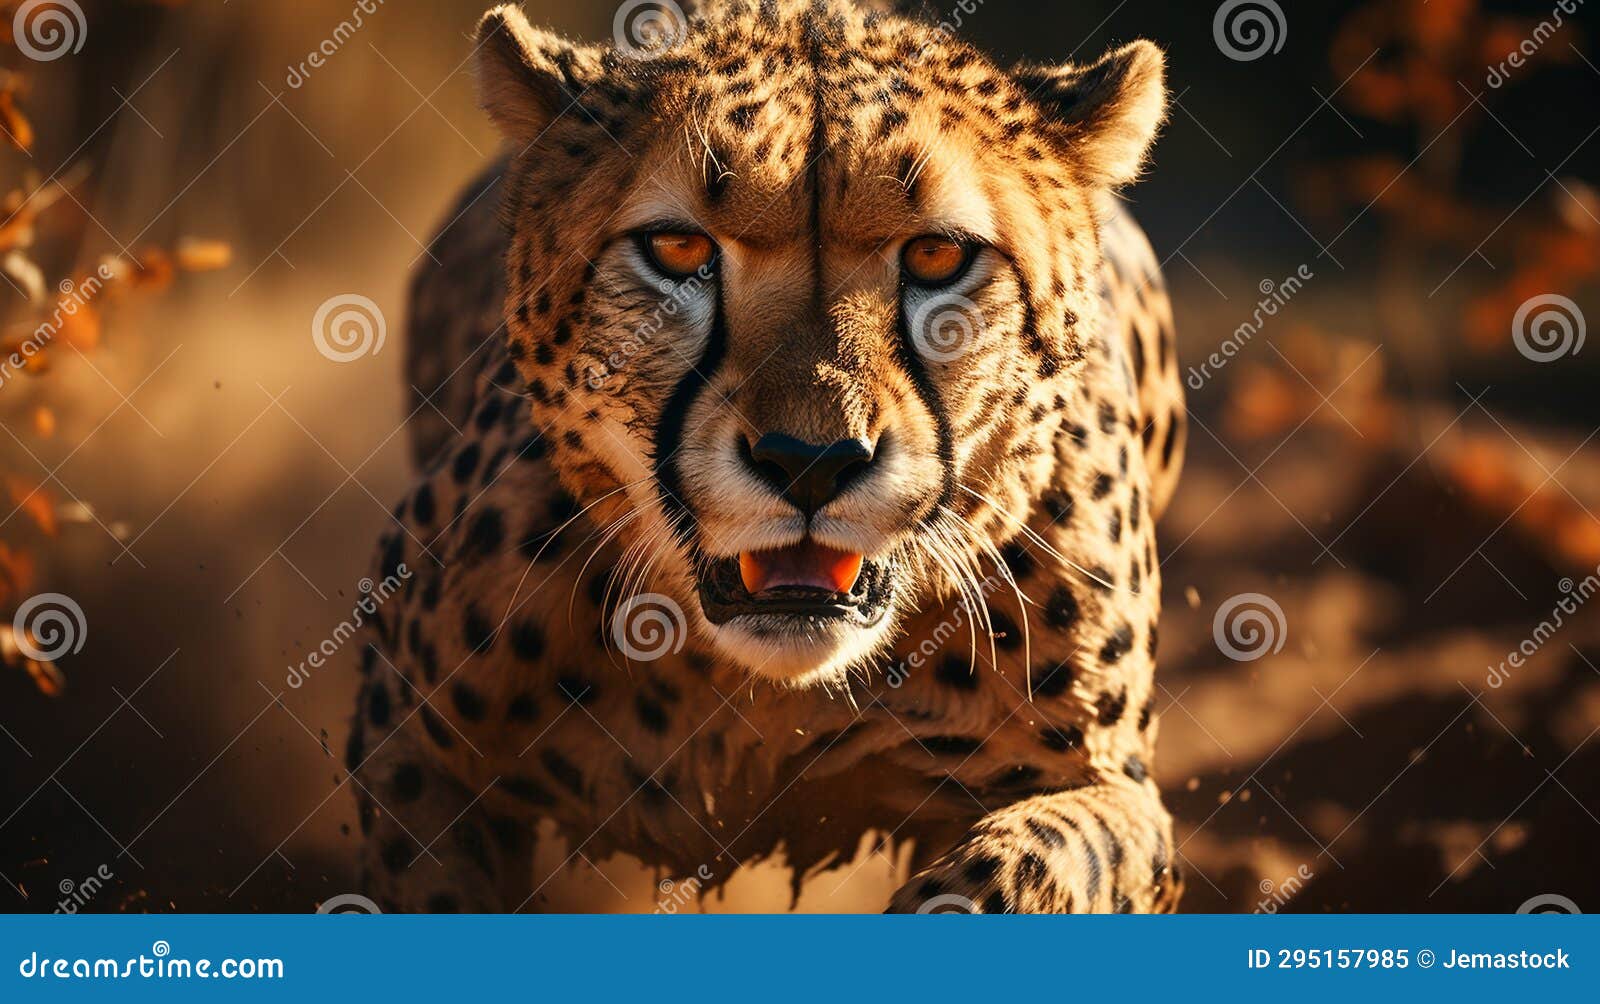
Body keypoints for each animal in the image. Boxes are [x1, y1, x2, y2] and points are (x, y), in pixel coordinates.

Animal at [344, 0, 1187, 914]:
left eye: (939, 256)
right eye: (676, 249)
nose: (810, 461)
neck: (758, 695)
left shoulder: (1115, 789)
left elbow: (1014, 867)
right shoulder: (408, 746)